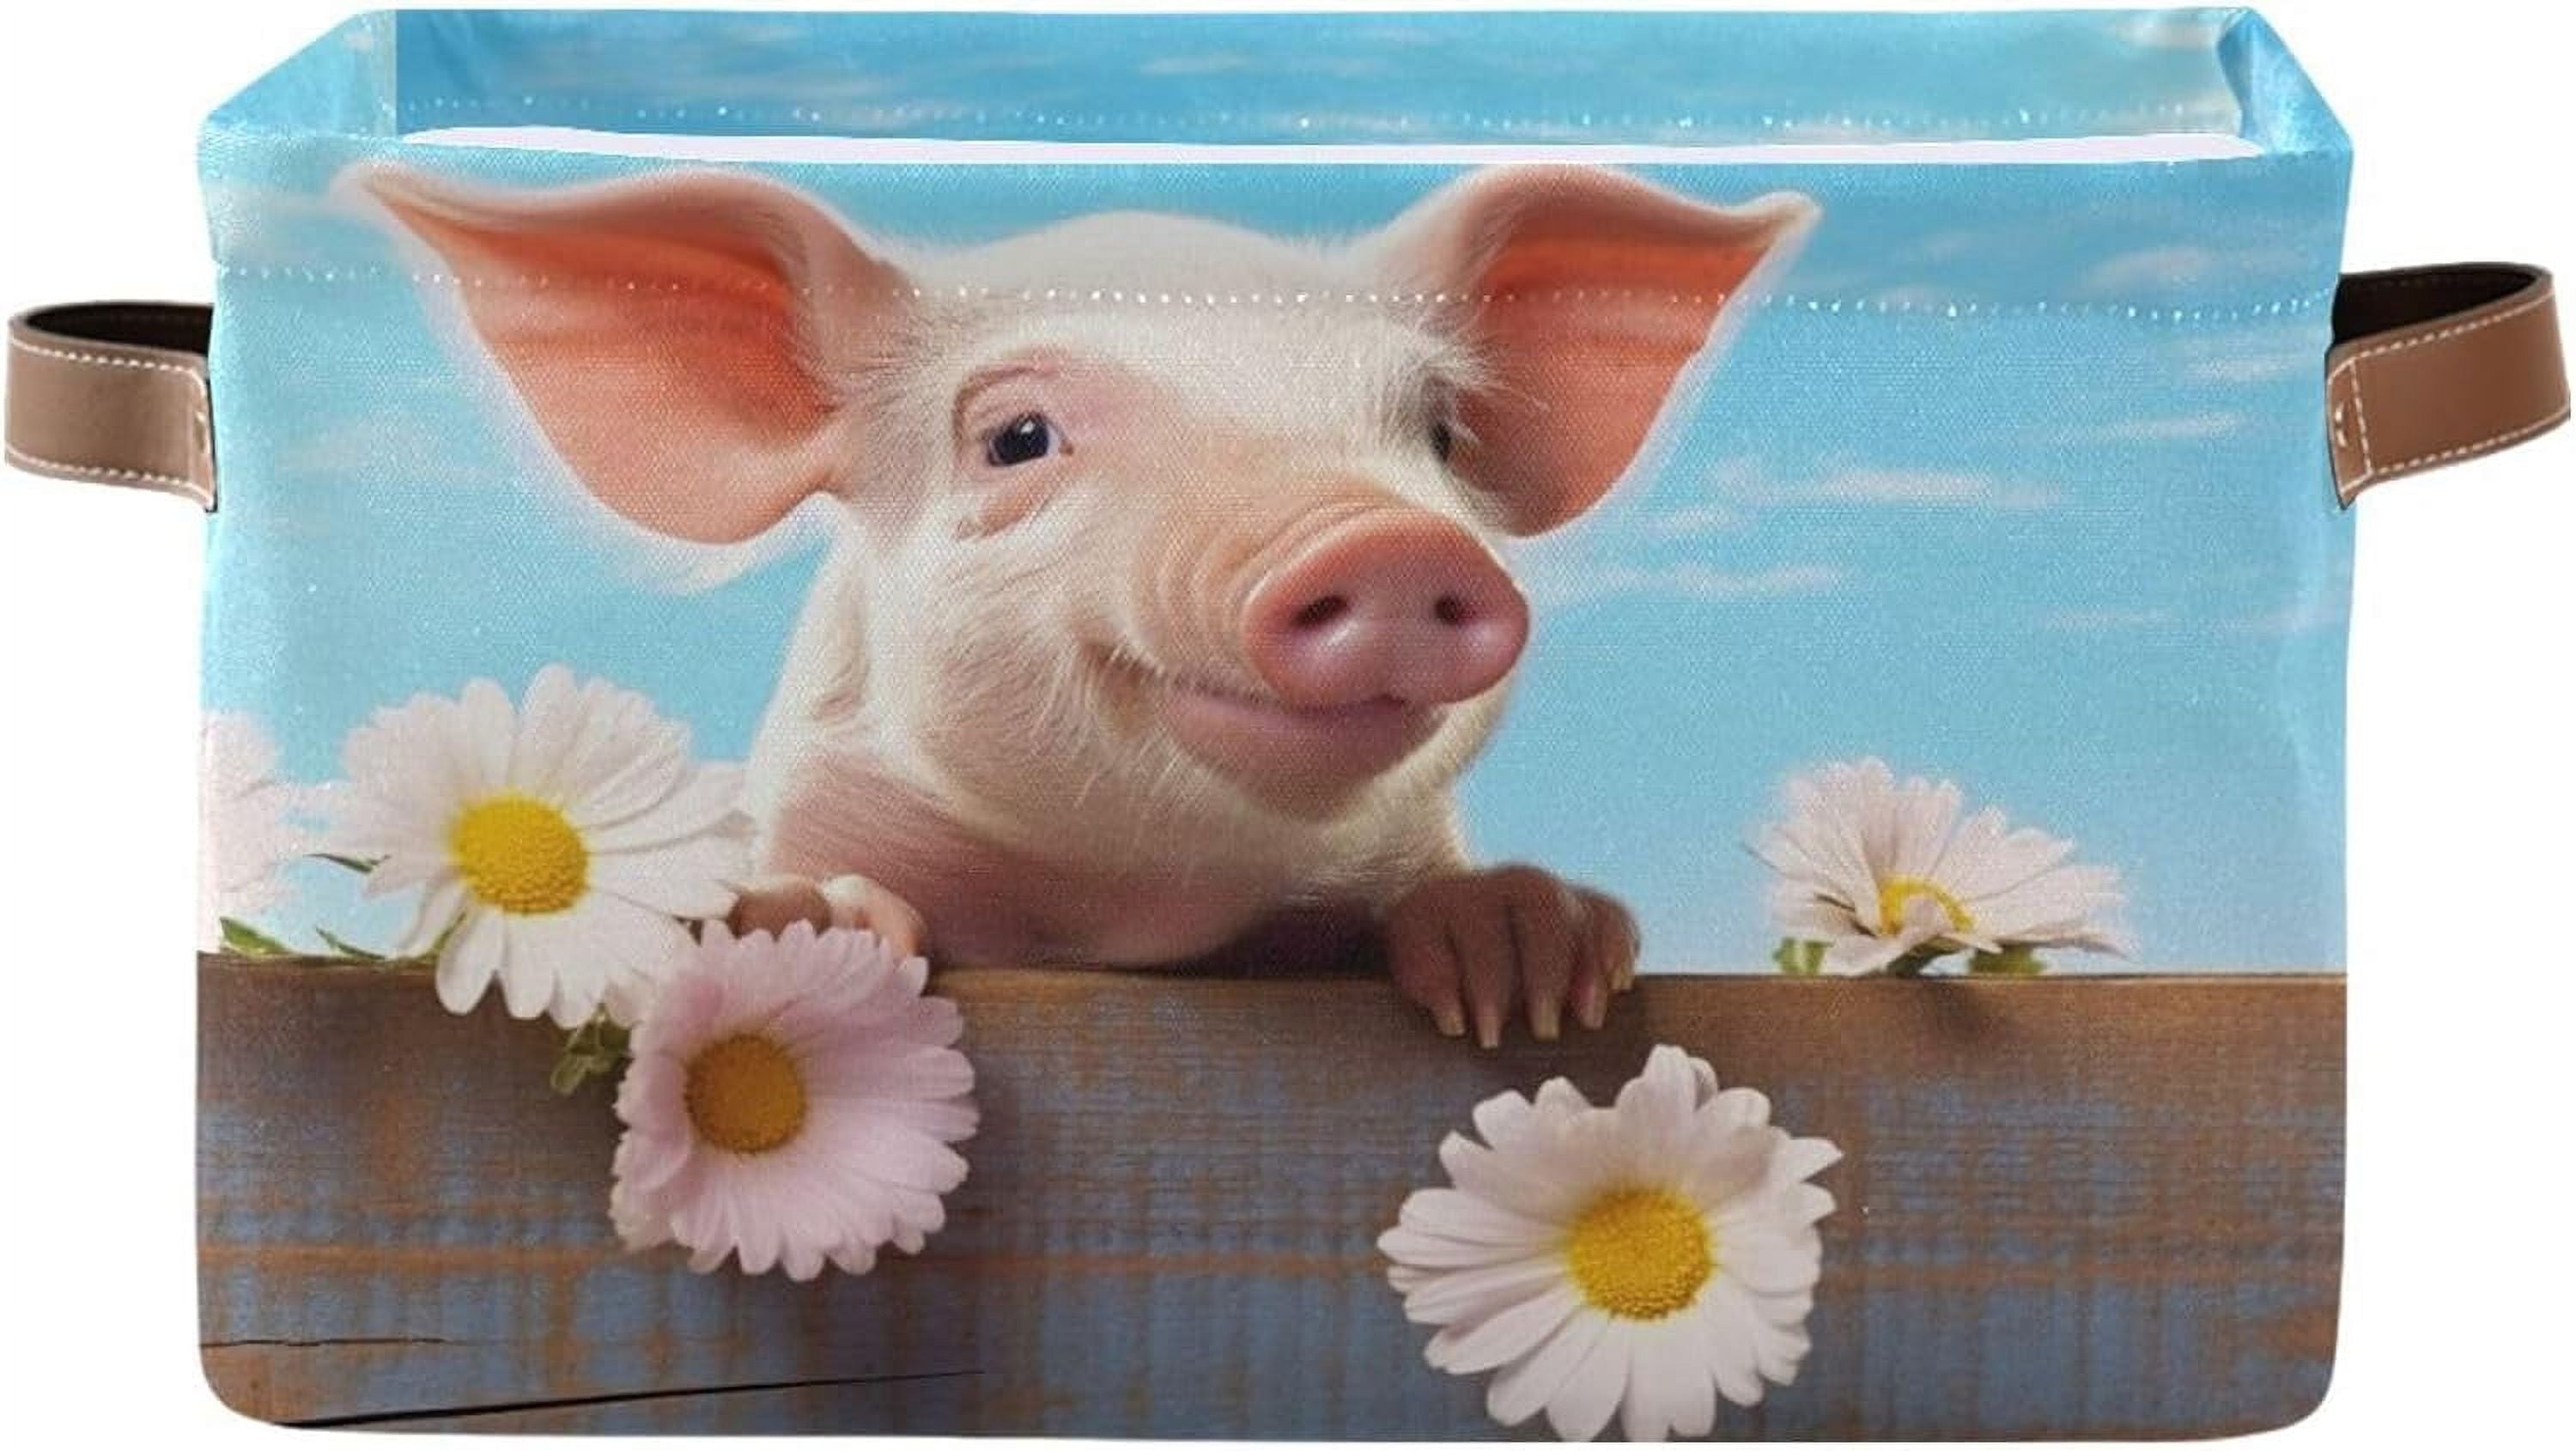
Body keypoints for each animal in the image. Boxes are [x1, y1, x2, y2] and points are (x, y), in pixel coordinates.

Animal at [350, 161, 1816, 1046]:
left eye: (1441, 435)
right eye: (1016, 438)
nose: (1390, 538)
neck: (1121, 921)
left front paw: (1535, 959)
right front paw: (799, 923)